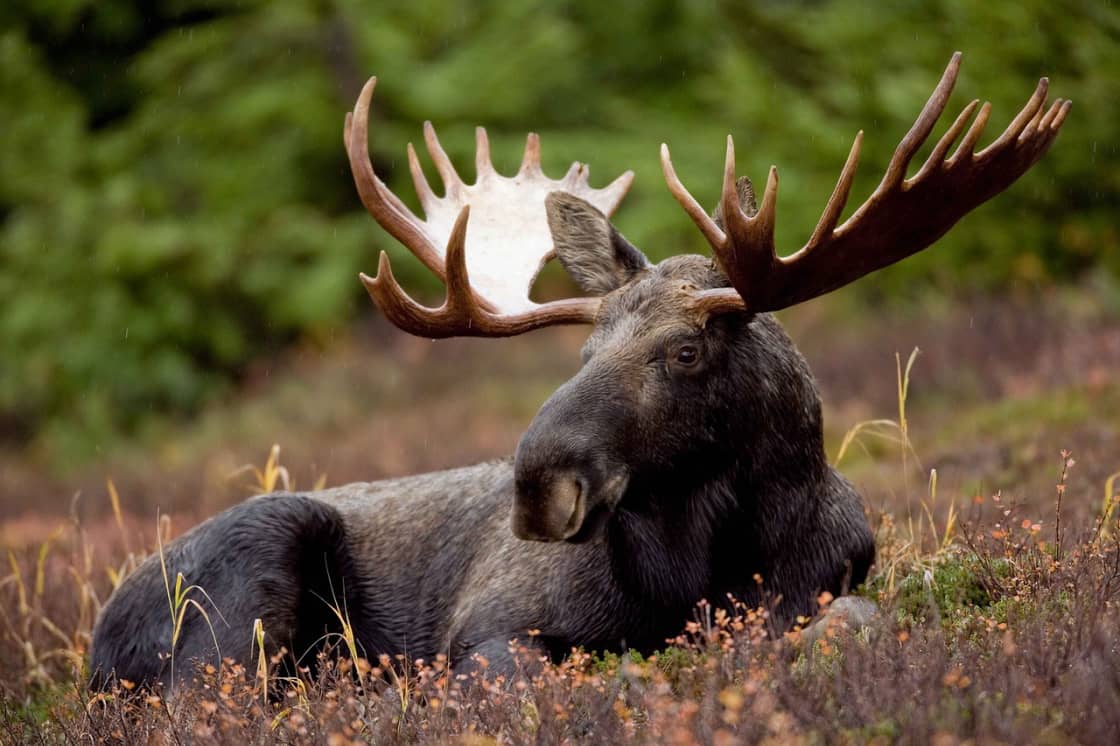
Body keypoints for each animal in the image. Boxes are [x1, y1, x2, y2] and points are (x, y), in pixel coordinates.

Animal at [90, 53, 1068, 689]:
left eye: (685, 350)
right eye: (585, 352)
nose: (537, 486)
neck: (701, 571)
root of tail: (98, 638)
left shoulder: (829, 587)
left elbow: (852, 625)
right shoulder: (490, 630)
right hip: (241, 597)